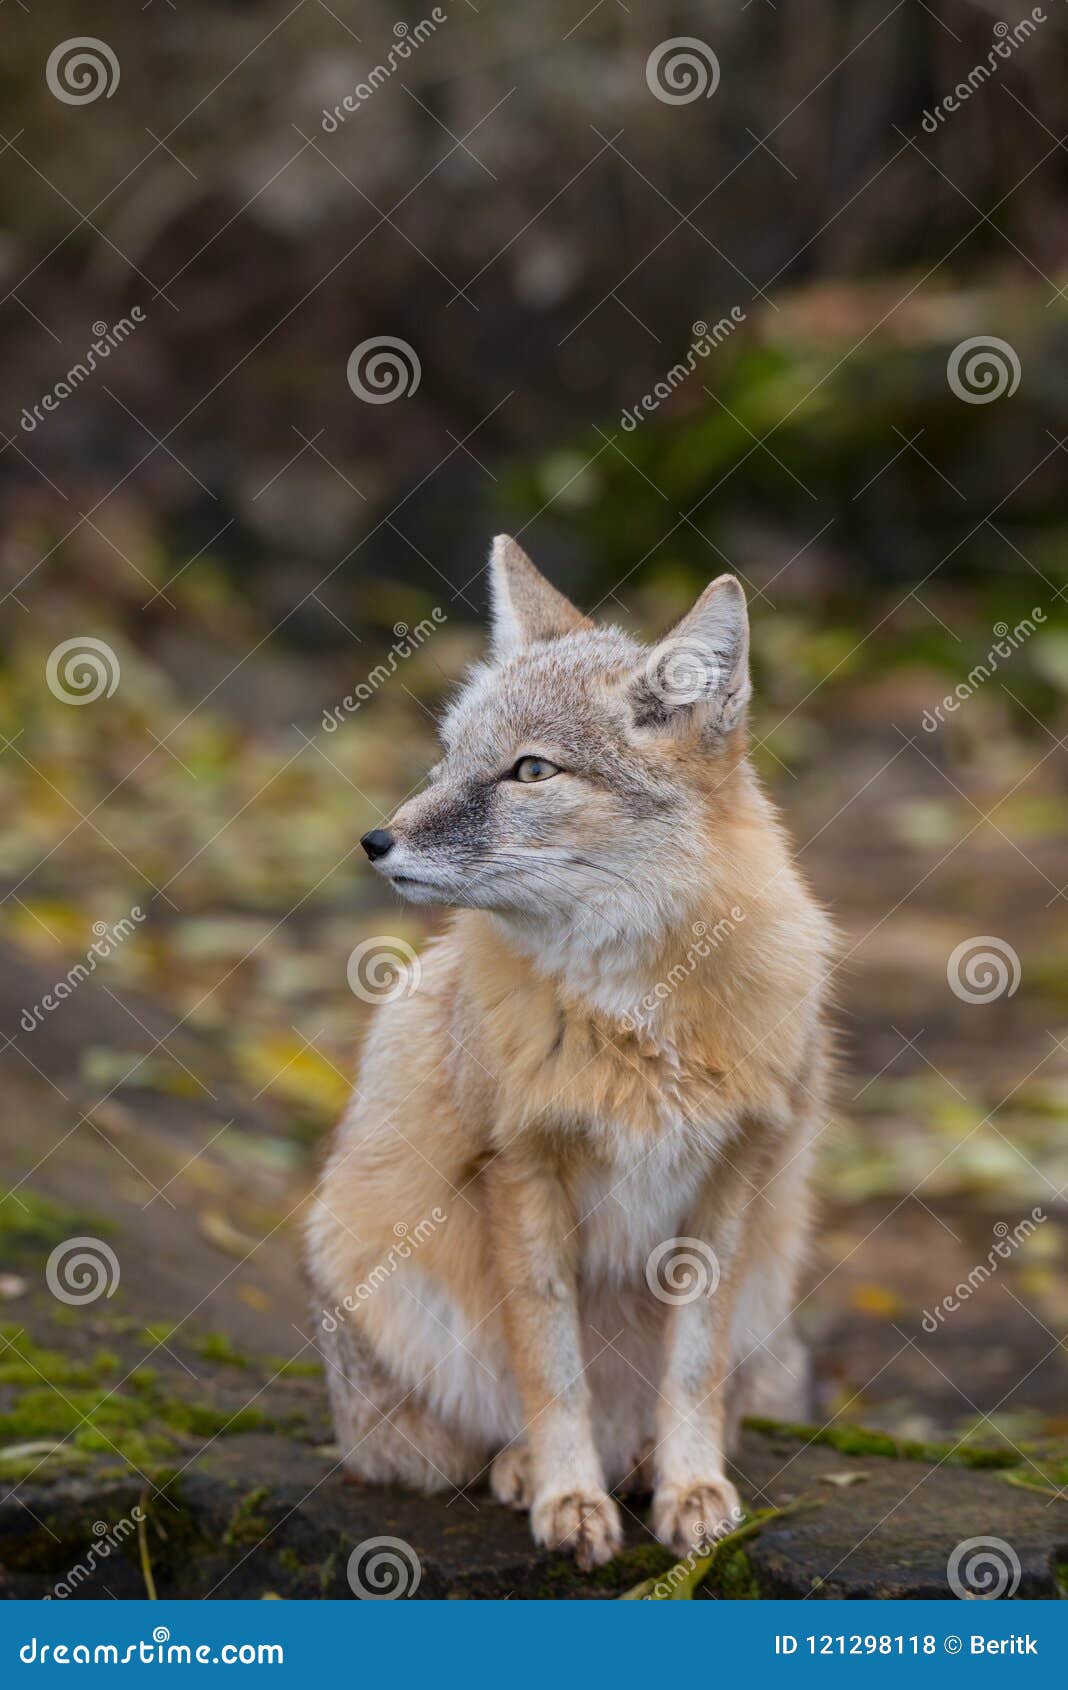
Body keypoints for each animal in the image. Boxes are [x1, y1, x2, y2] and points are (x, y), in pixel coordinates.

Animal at [305, 535, 834, 1570]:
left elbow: (693, 1370)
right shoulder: (520, 1170)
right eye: (448, 759)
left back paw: (643, 1464)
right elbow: (550, 1368)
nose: (375, 840)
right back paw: (528, 1467)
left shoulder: (730, 1177)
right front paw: (566, 1494)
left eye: (531, 771)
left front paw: (691, 1487)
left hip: (772, 1273)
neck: (641, 1021)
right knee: (475, 1427)